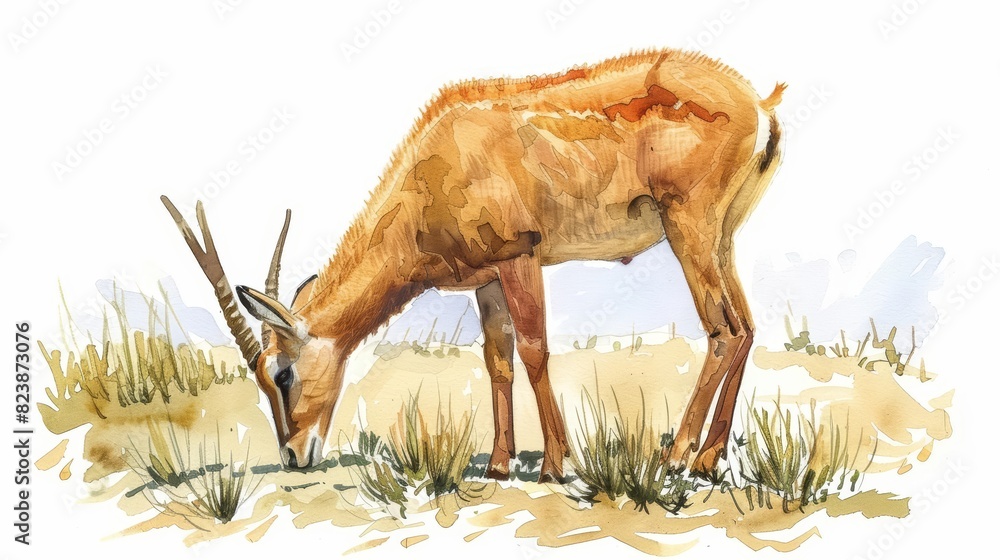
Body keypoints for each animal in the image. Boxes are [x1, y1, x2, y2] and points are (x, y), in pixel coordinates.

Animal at [163, 48, 784, 482]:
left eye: (281, 373)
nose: (294, 455)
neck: (437, 160)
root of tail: (760, 104)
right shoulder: (486, 281)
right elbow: (498, 361)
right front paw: (498, 464)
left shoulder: (520, 258)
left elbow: (534, 350)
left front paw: (556, 466)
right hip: (721, 239)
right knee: (747, 327)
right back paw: (707, 458)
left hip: (689, 232)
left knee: (723, 330)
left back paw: (678, 456)